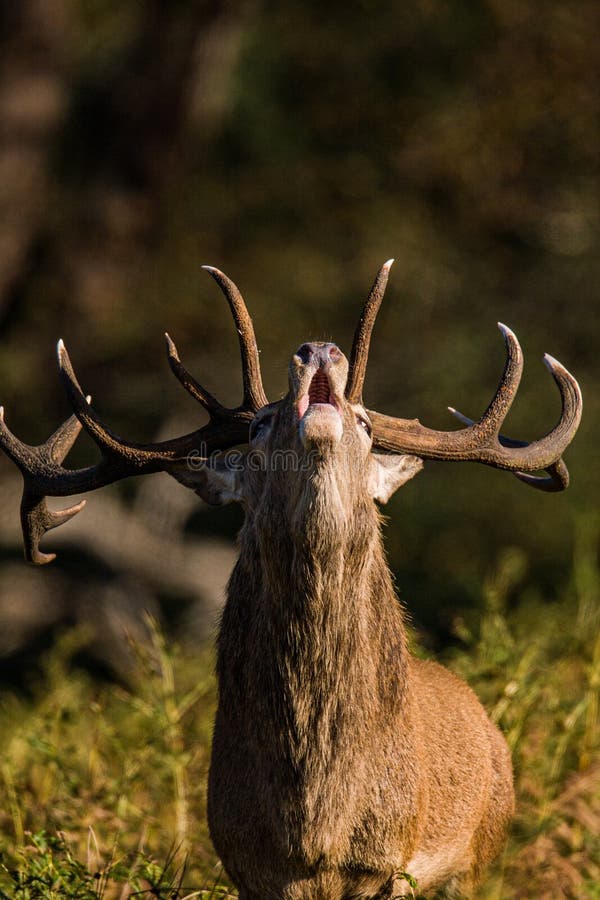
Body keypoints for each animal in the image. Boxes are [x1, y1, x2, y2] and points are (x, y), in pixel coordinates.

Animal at [0, 262, 582, 898]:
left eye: (365, 423)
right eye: (258, 425)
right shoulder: (248, 865)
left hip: (479, 857)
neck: (314, 822)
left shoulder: (391, 863)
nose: (319, 348)